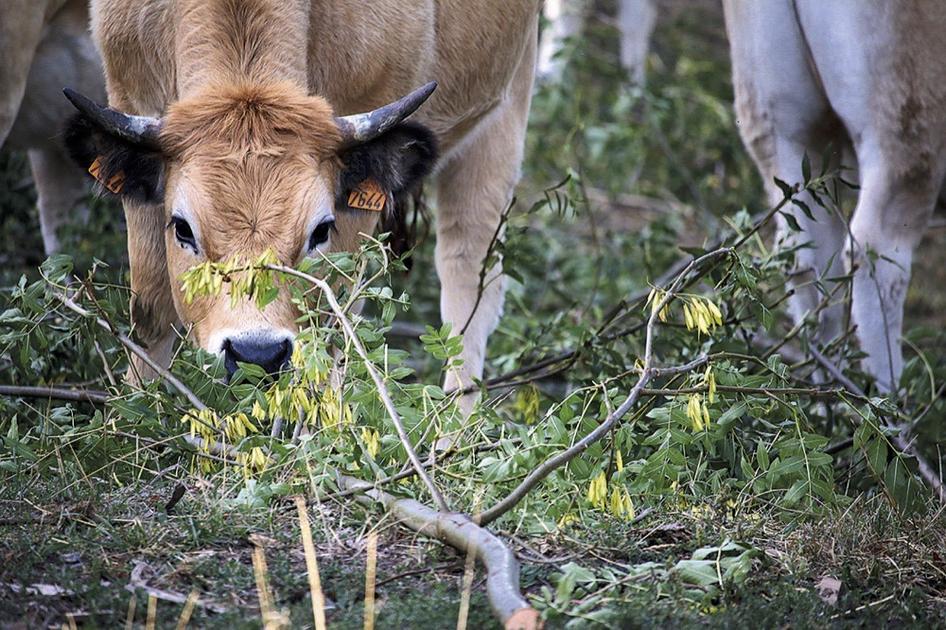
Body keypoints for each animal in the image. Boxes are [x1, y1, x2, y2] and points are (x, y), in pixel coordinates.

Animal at [62, 0, 539, 412]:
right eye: (182, 228)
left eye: (320, 230)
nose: (257, 353)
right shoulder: (130, 104)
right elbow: (151, 311)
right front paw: (132, 416)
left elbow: (333, 321)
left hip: (500, 119)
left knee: (467, 279)